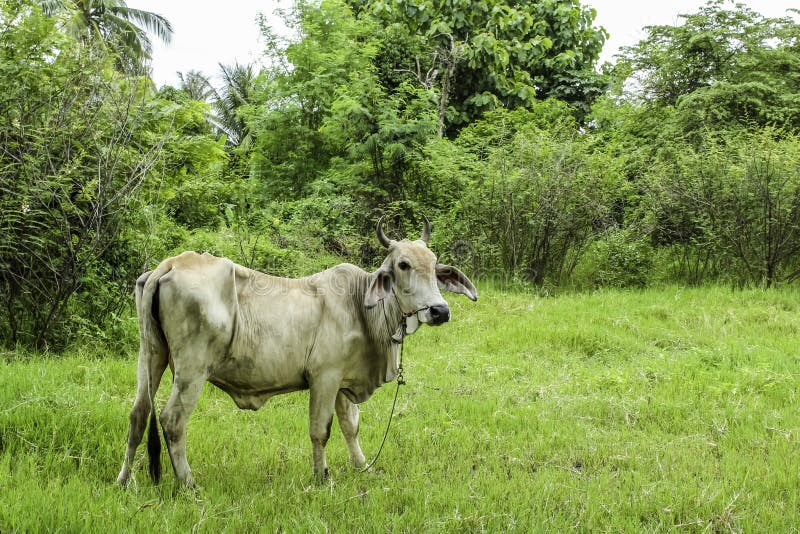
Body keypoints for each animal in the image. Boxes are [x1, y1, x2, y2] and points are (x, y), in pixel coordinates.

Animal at [116, 216, 477, 487]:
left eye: (434, 265)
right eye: (403, 265)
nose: (439, 311)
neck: (360, 307)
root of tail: (169, 265)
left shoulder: (343, 381)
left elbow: (350, 426)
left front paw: (362, 466)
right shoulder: (324, 377)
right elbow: (321, 430)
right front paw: (323, 477)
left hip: (150, 356)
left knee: (138, 414)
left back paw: (125, 480)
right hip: (192, 369)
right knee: (172, 420)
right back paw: (189, 483)